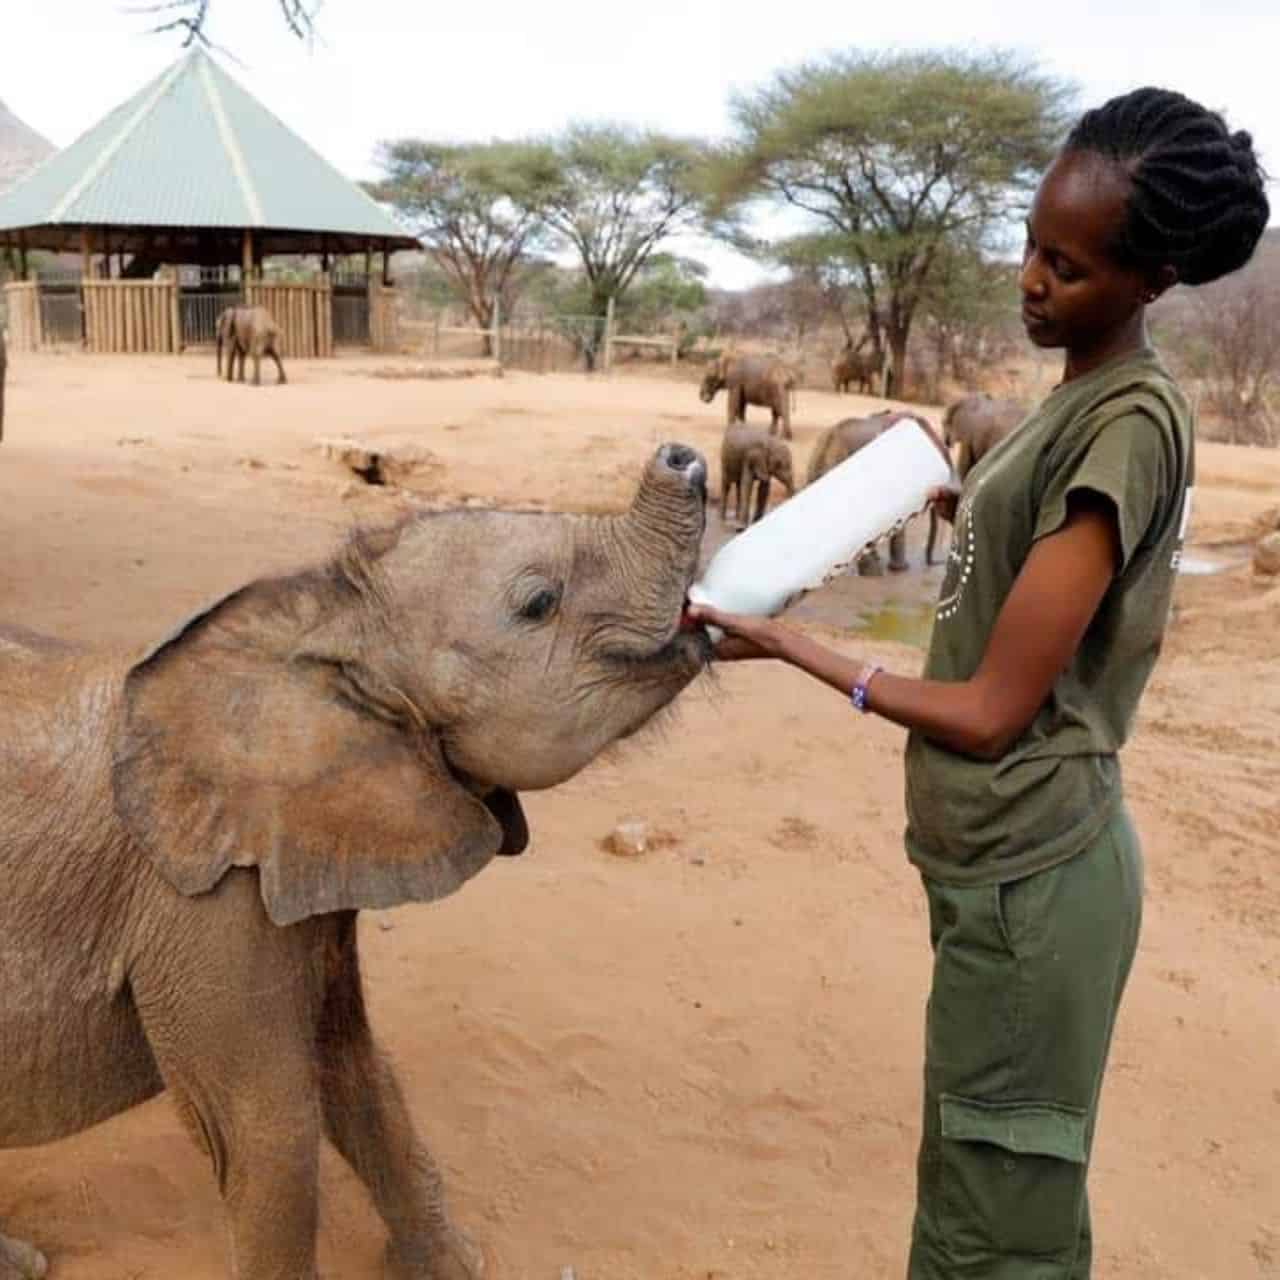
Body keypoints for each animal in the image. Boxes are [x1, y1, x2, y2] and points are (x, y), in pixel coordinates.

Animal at [0, 443, 710, 1280]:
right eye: (540, 602)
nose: (679, 455)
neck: (320, 629)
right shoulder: (201, 902)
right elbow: (266, 1131)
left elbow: (356, 1071)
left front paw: (454, 1268)